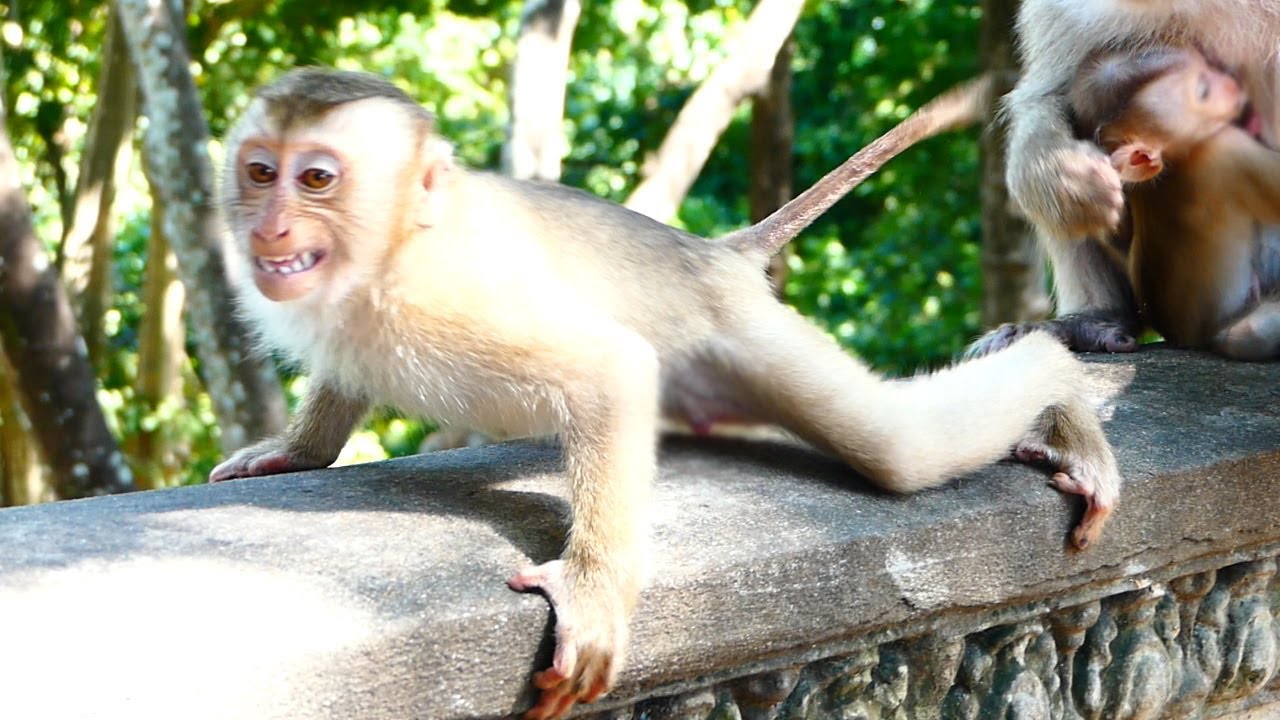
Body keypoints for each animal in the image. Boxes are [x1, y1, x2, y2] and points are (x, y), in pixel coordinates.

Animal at [211, 68, 1120, 719]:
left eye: (315, 178)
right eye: (259, 172)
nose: (269, 227)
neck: (393, 246)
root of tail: (707, 252)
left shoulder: (444, 295)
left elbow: (609, 367)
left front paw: (593, 590)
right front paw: (297, 450)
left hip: (740, 331)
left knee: (899, 448)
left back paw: (1064, 399)